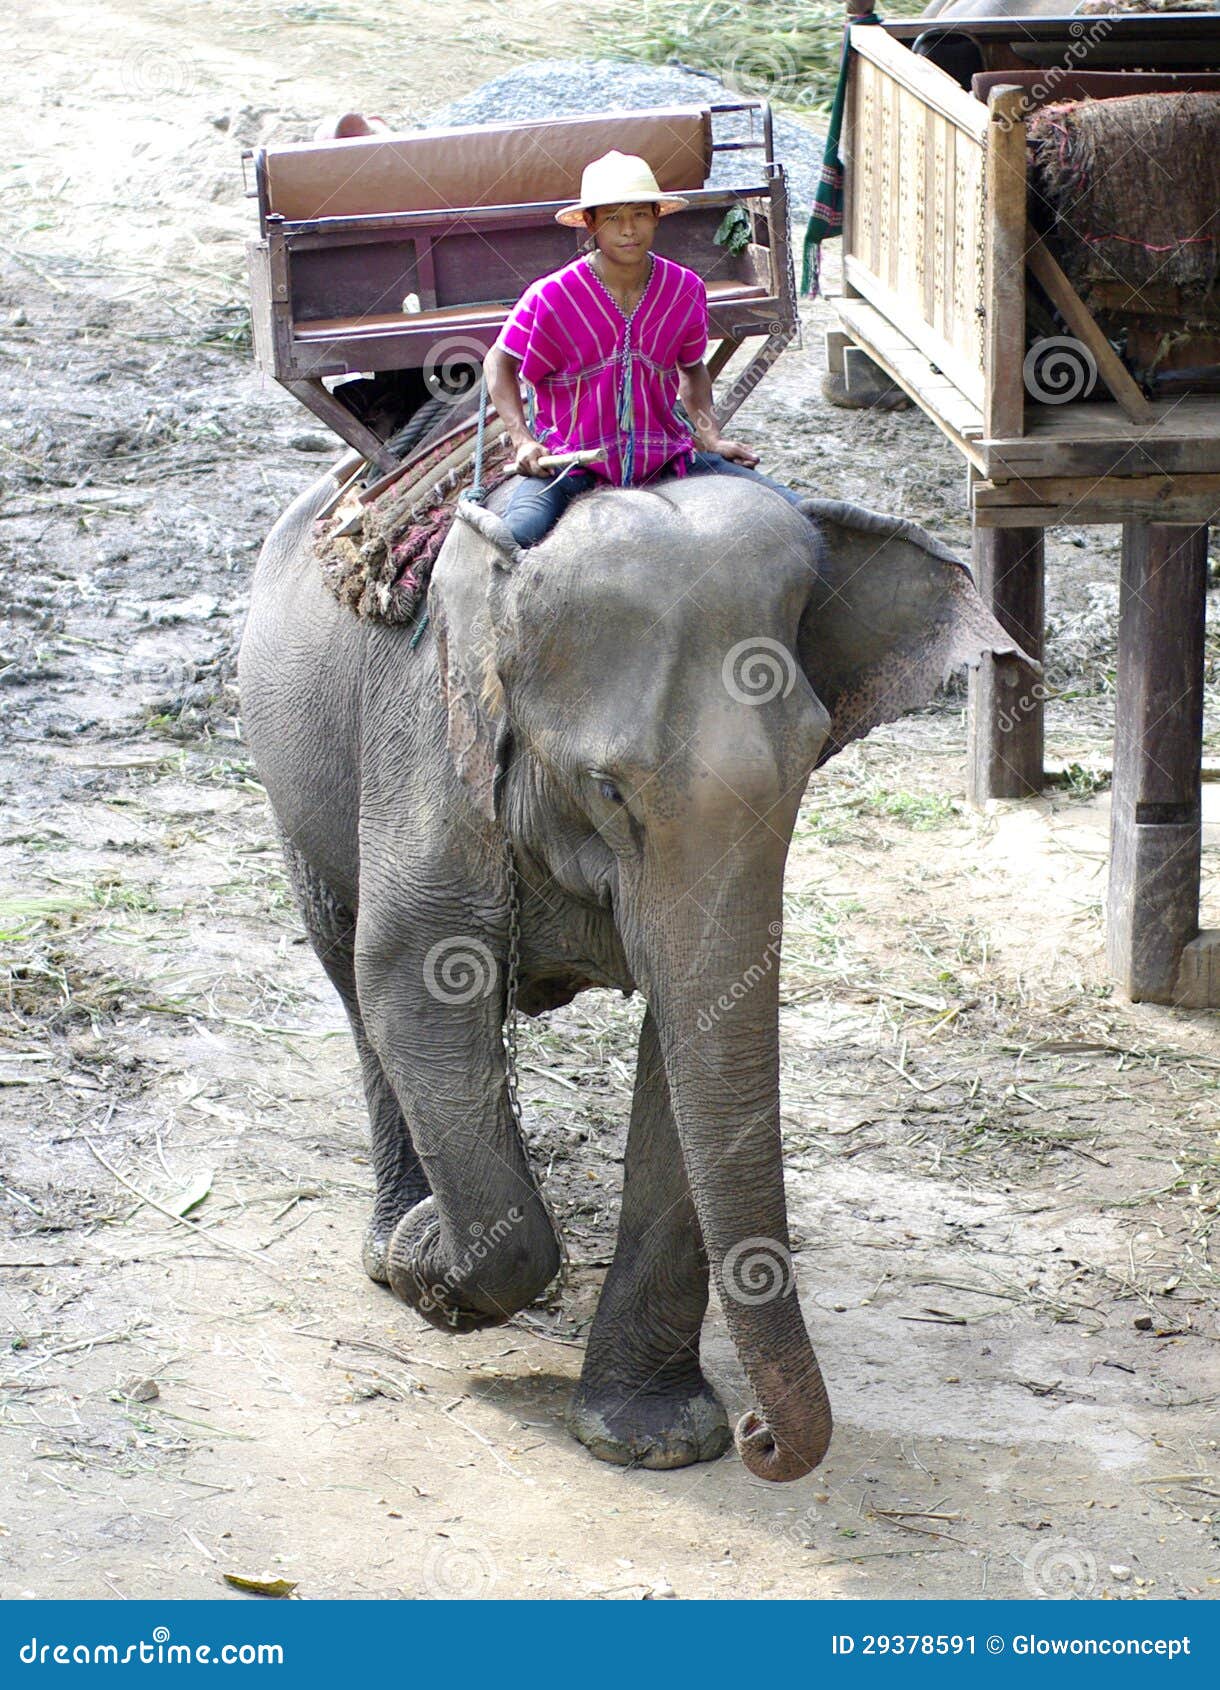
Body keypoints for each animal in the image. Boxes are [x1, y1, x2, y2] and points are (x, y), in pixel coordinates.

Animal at [237, 465, 1030, 1482]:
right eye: (608, 789)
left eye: (808, 770)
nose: (760, 1435)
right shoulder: (428, 746)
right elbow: (411, 975)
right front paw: (432, 1259)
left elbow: (691, 1044)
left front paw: (656, 1440)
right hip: (293, 785)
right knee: (349, 972)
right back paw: (393, 1239)